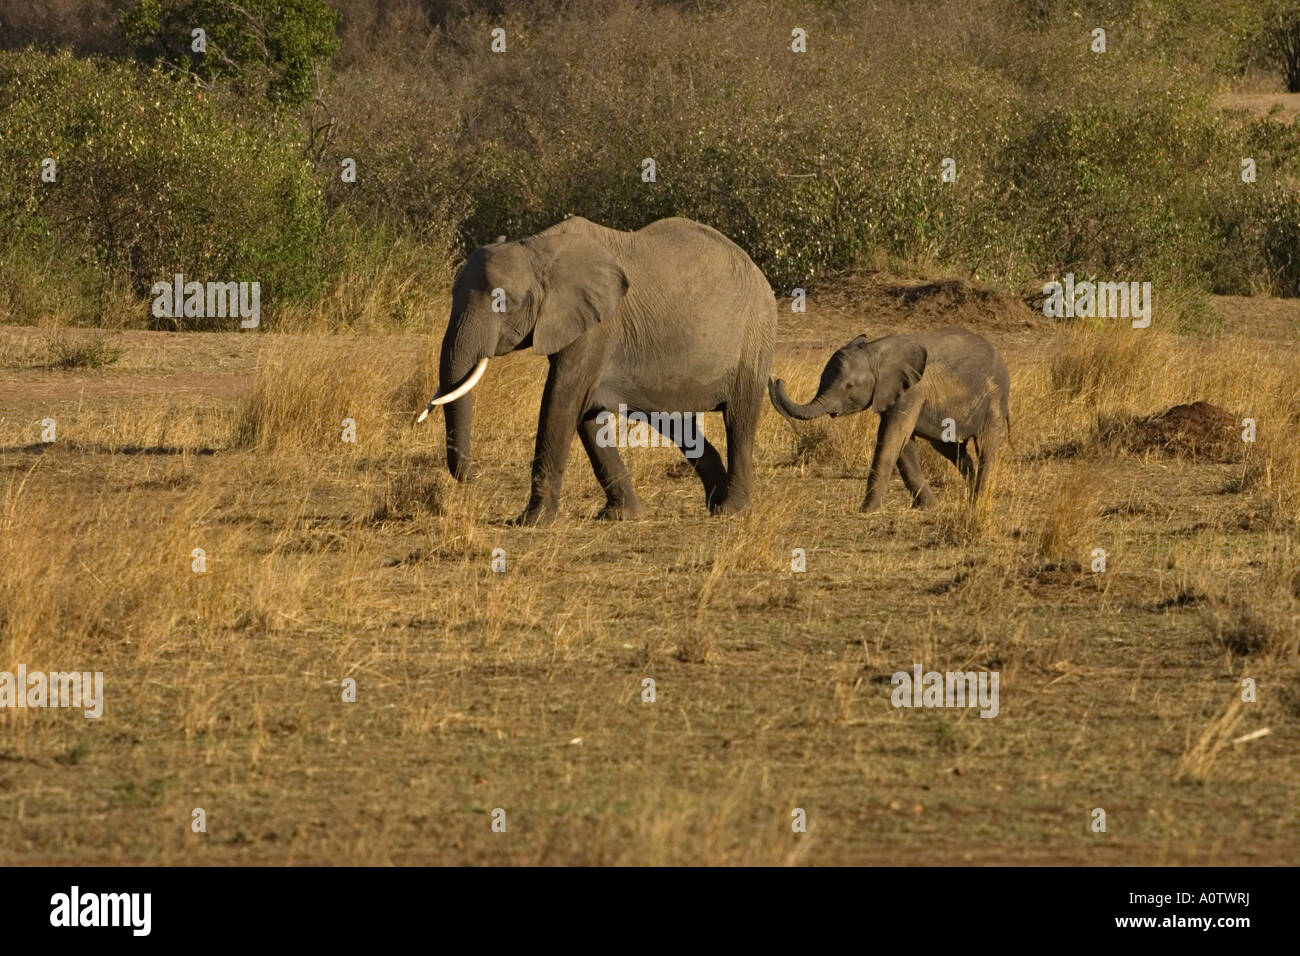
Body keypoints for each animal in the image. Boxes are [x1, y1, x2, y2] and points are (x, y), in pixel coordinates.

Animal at [416, 216, 777, 526]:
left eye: (502, 303)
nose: (472, 477)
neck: (537, 249)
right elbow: (585, 411)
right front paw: (620, 516)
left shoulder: (598, 327)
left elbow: (562, 400)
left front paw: (530, 521)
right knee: (676, 422)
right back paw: (715, 502)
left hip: (754, 338)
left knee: (739, 420)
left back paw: (732, 509)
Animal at [768, 327, 1010, 512]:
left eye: (849, 386)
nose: (777, 379)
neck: (875, 352)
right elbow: (901, 444)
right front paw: (929, 508)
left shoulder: (912, 391)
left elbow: (892, 436)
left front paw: (867, 510)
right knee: (952, 449)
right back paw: (970, 495)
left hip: (995, 398)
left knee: (986, 446)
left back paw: (978, 501)